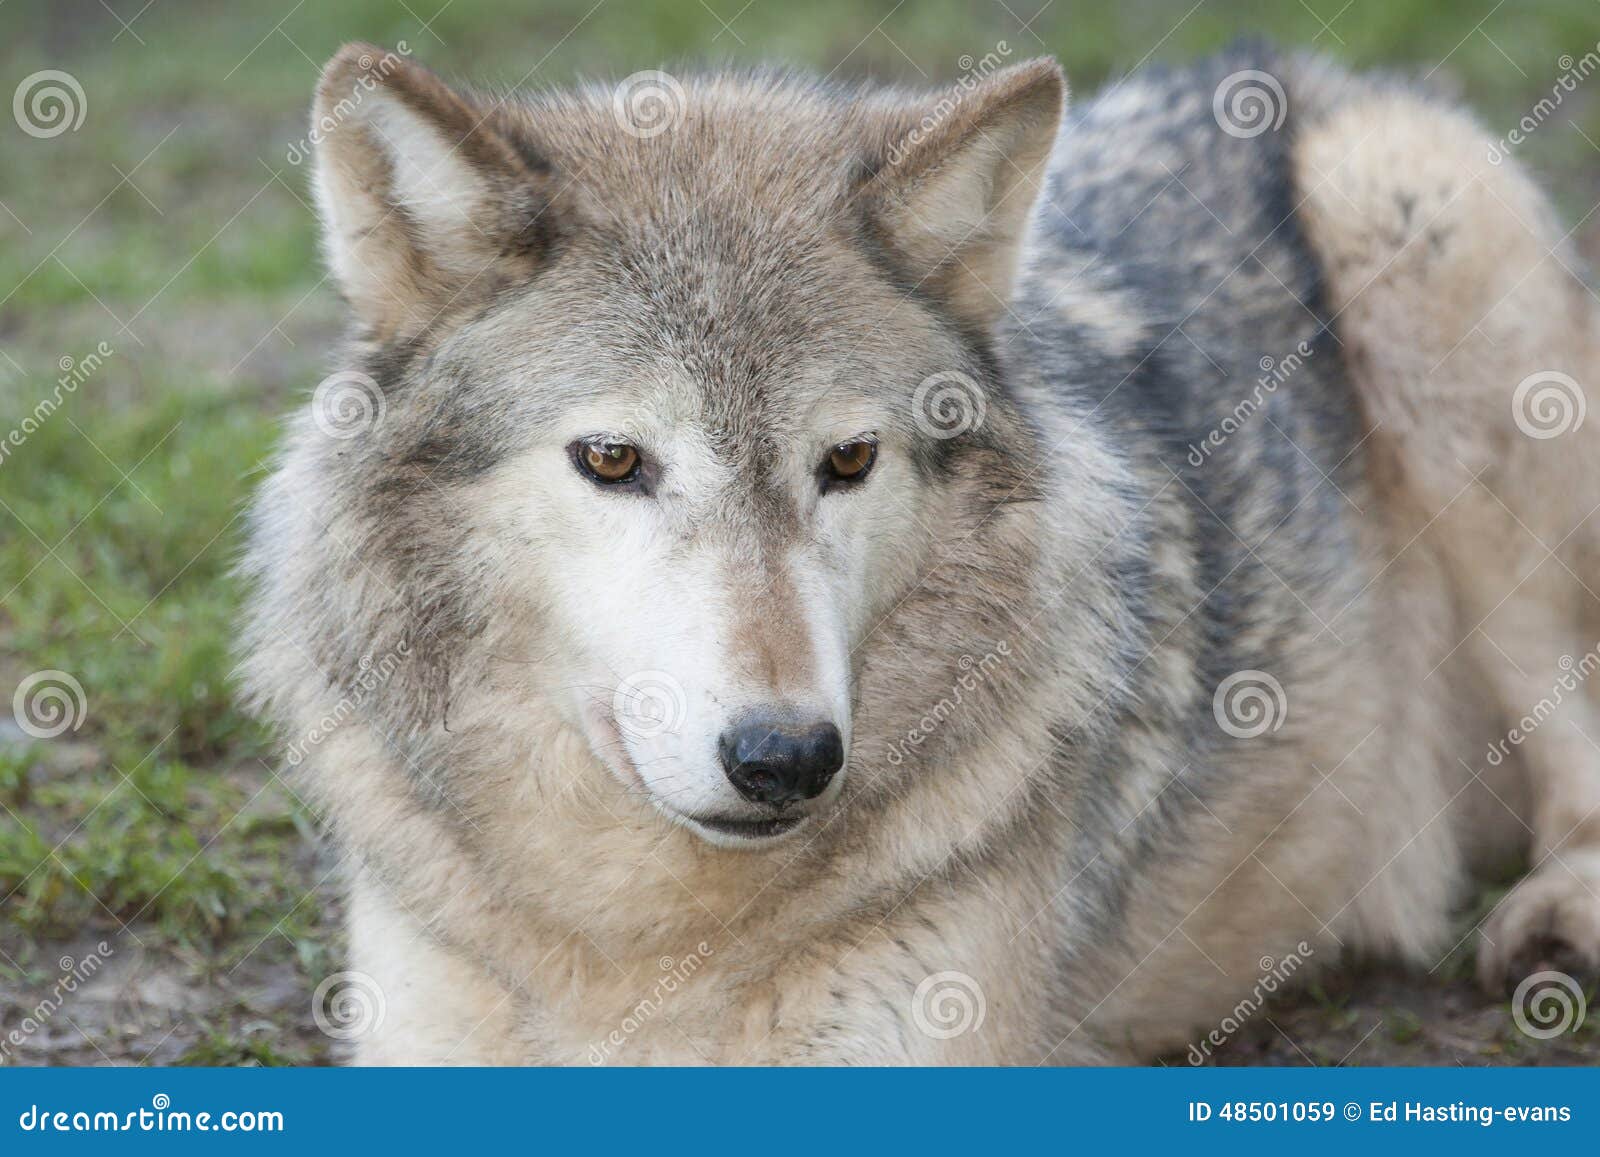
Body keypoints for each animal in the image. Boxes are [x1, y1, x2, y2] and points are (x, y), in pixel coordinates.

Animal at [239, 40, 1600, 1063]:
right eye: (614, 459)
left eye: (847, 461)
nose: (785, 758)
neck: (642, 950)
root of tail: (1286, 66)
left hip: (1410, 240)